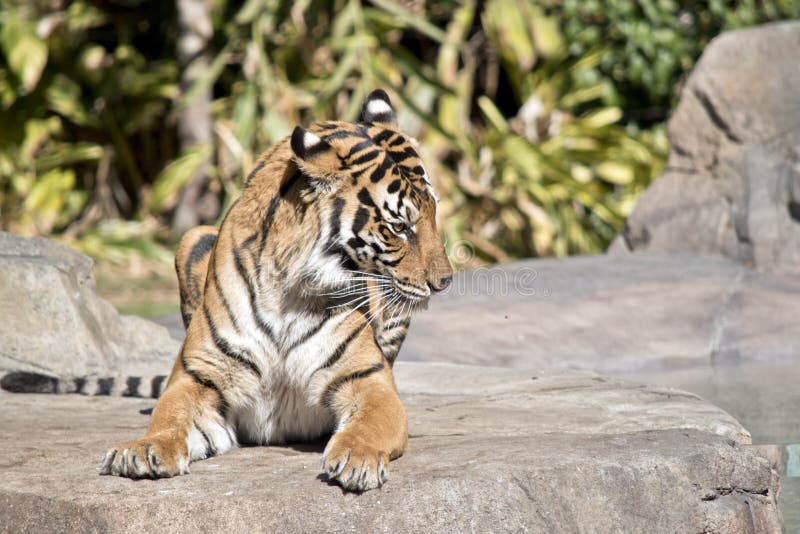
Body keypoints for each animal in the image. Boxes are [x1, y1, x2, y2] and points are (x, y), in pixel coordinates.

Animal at [99, 89, 453, 491]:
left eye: (433, 213)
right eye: (399, 227)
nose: (445, 281)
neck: (290, 293)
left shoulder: (368, 378)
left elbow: (370, 424)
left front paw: (357, 458)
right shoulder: (199, 376)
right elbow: (168, 416)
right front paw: (143, 450)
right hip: (191, 236)